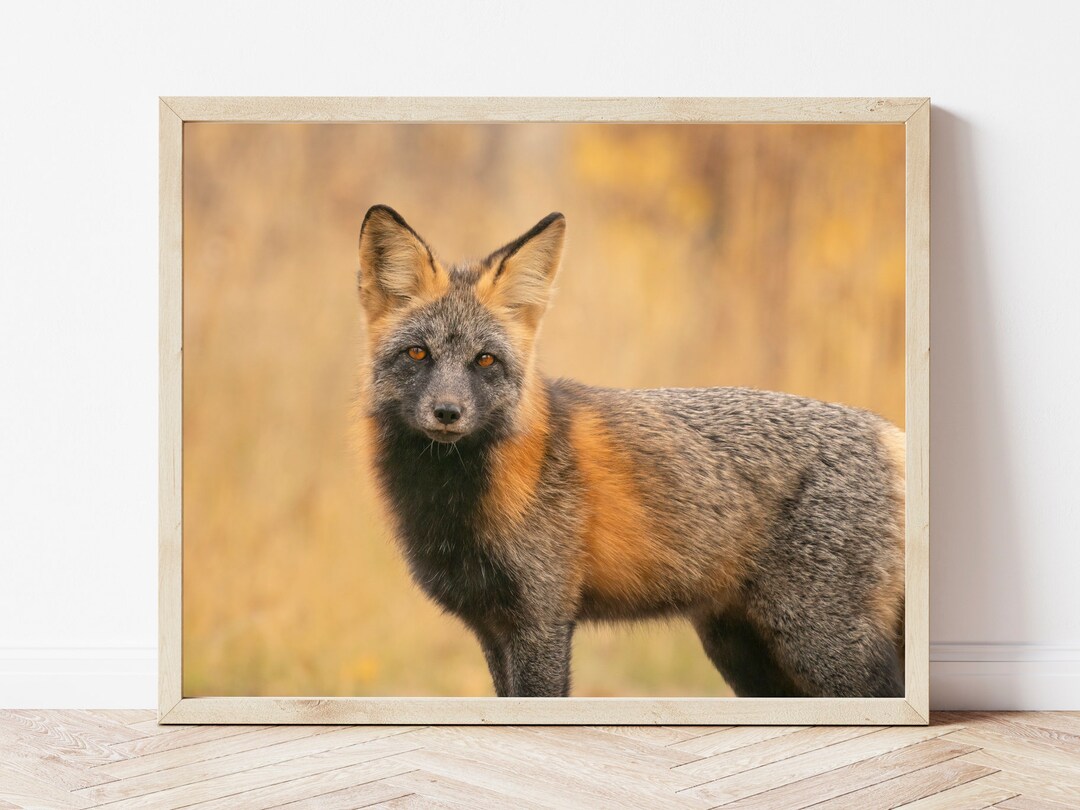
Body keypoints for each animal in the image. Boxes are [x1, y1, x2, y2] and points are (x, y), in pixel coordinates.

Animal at [355, 204, 906, 699]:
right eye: (418, 353)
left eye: (485, 360)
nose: (447, 412)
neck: (457, 504)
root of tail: (887, 432)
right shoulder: (492, 627)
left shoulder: (542, 619)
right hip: (744, 654)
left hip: (819, 647)